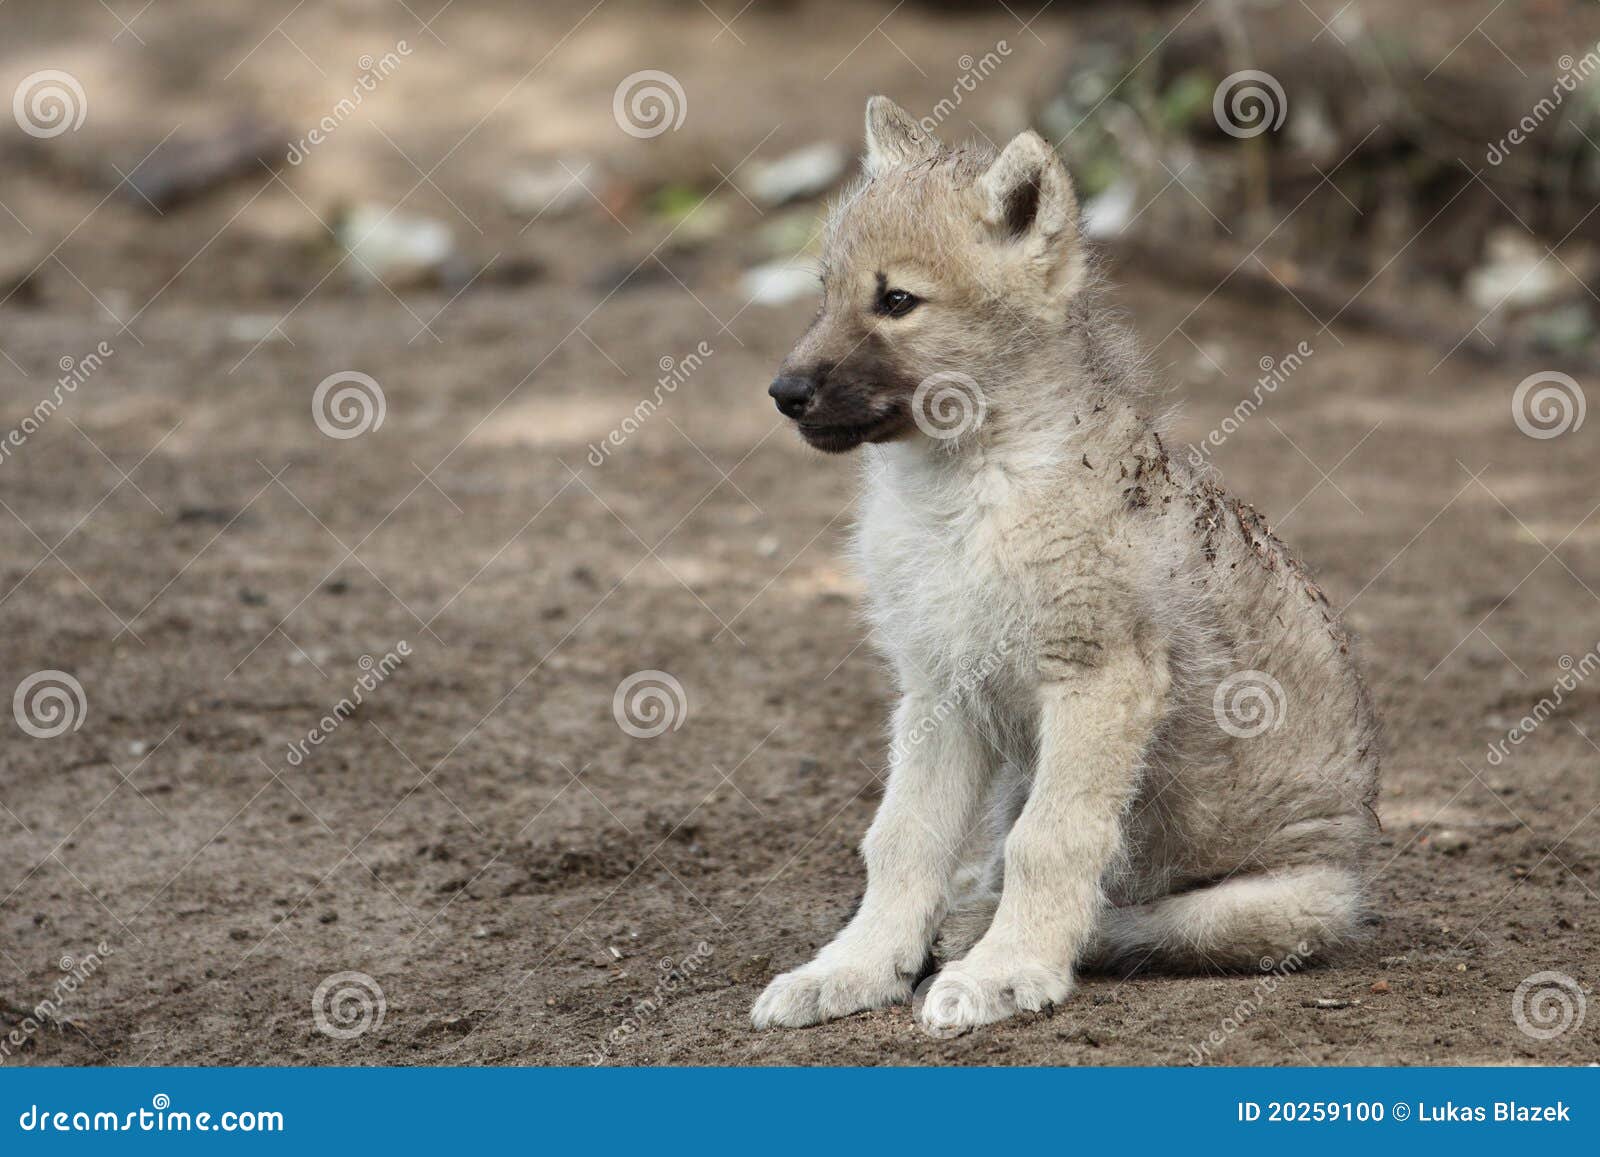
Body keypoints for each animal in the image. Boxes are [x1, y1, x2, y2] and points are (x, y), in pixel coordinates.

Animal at [750, 97, 1381, 1032]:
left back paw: (982, 944)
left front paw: (1005, 970)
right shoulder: (939, 689)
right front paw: (853, 968)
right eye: (824, 291)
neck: (962, 489)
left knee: (1133, 918)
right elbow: (901, 838)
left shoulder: (1098, 679)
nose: (785, 394)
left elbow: (1050, 841)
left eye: (896, 300)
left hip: (1272, 904)